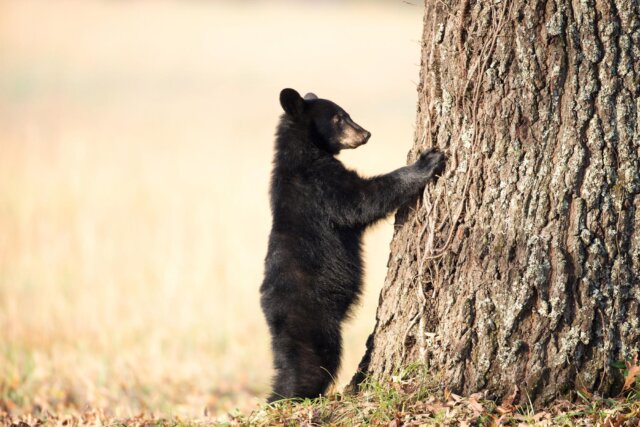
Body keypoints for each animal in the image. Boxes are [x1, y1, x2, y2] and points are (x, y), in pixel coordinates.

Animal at [260, 88, 445, 402]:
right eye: (338, 118)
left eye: (346, 114)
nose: (366, 133)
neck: (303, 154)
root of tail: (272, 314)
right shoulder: (320, 186)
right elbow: (362, 200)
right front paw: (426, 162)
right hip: (313, 319)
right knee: (311, 364)